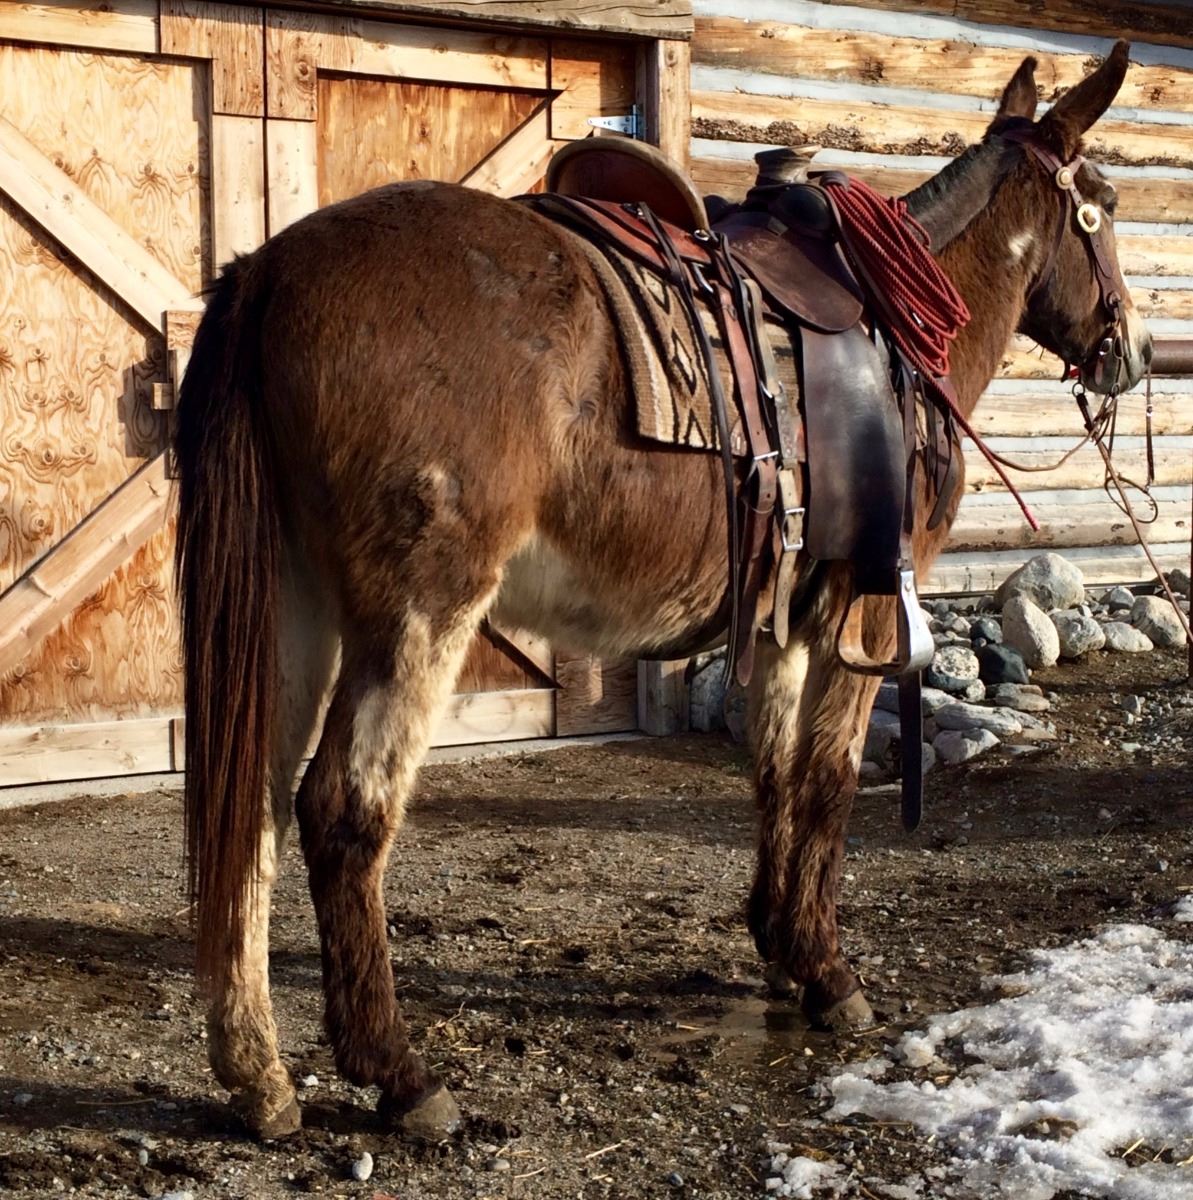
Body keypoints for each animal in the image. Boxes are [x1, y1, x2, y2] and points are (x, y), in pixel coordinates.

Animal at [174, 44, 1151, 1141]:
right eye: (1103, 205)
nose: (1129, 349)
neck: (898, 338)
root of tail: (270, 273)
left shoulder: (785, 620)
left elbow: (773, 771)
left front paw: (779, 947)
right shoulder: (862, 609)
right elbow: (827, 777)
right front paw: (828, 974)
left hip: (293, 605)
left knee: (251, 803)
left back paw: (257, 1073)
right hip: (419, 609)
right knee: (342, 808)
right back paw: (398, 1073)